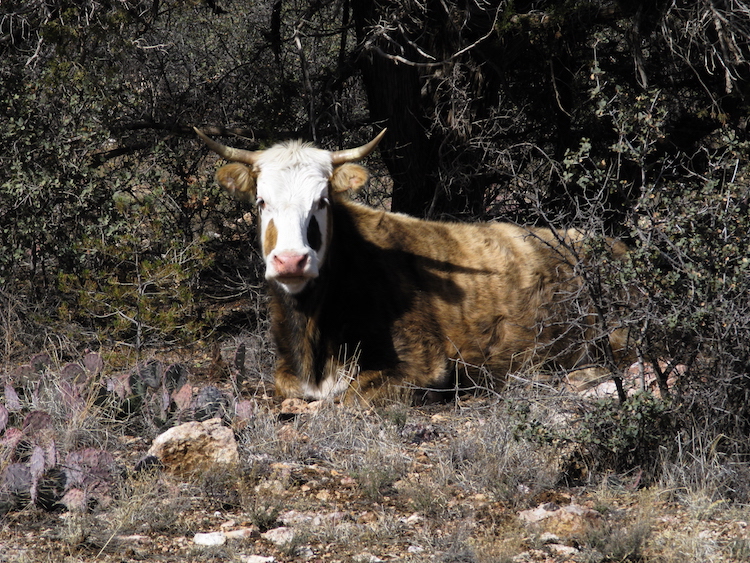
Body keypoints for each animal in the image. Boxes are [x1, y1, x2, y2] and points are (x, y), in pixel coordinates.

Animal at [195, 127, 631, 403]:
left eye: (322, 201)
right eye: (261, 201)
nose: (290, 260)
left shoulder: (428, 367)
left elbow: (349, 399)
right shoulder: (286, 372)